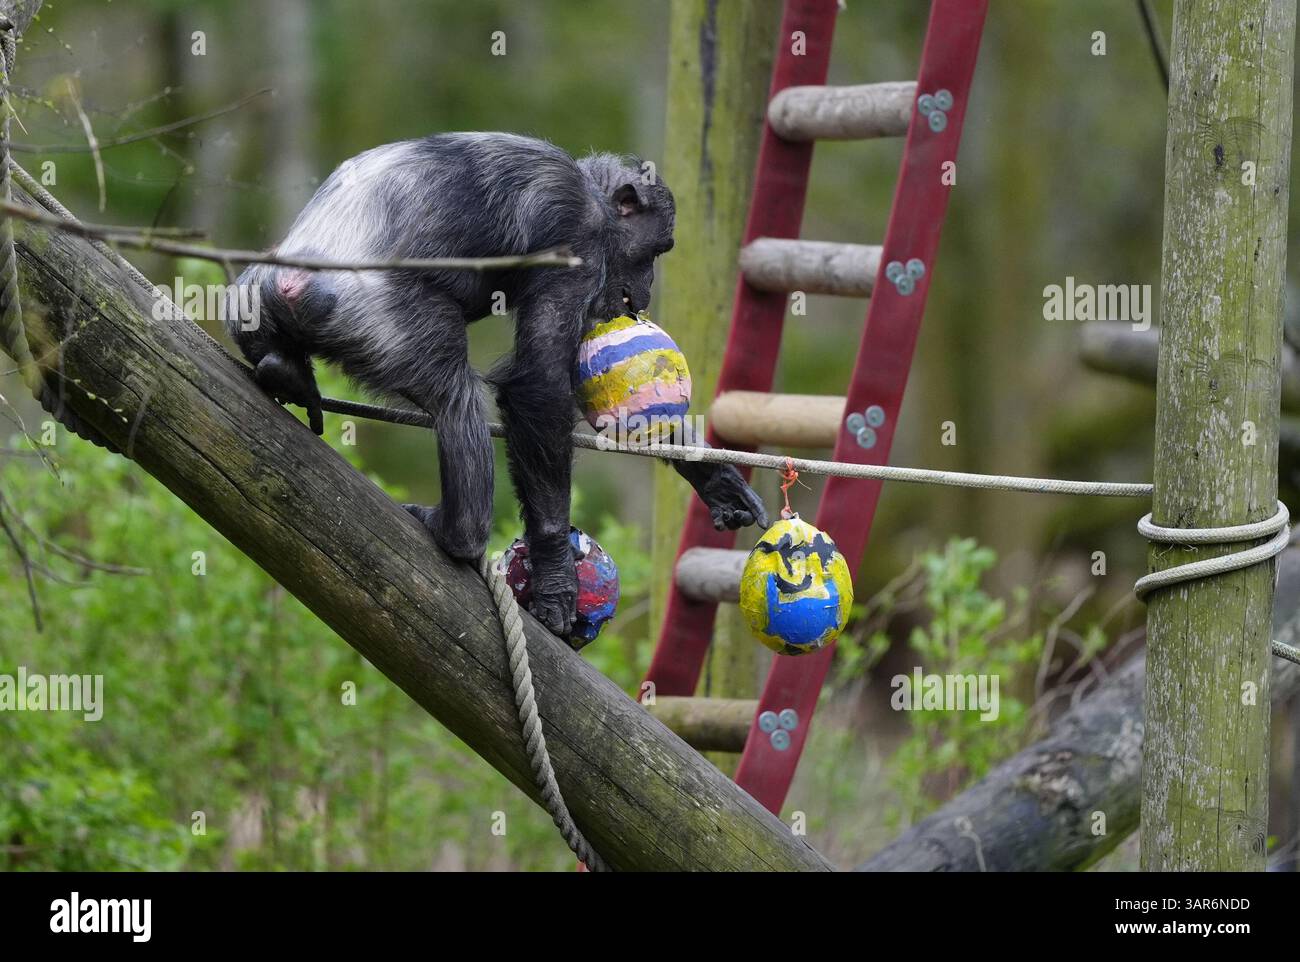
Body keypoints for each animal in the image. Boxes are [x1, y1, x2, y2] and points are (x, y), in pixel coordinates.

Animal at [228, 132, 768, 637]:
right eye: (657, 250)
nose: (648, 288)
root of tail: (293, 283)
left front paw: (716, 480)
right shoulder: (576, 235)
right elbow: (539, 381)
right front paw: (555, 575)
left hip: (247, 293)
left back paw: (283, 372)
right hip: (383, 317)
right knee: (456, 395)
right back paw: (458, 533)